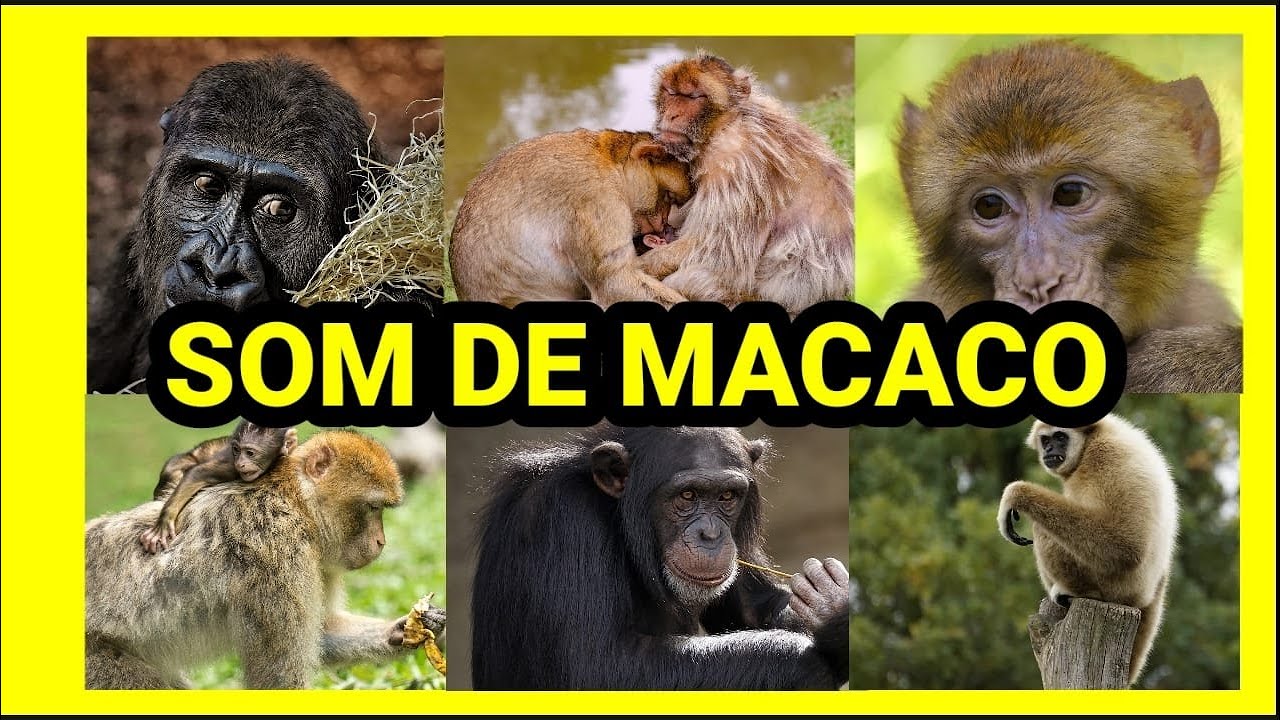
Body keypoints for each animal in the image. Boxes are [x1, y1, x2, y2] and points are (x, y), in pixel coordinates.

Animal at [138, 421, 298, 554]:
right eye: (236, 450)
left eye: (250, 453)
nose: (241, 463)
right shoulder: (230, 466)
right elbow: (197, 474)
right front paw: (163, 524)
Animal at [638, 51, 853, 314]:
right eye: (671, 92)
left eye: (693, 97)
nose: (672, 115)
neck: (725, 126)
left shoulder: (735, 165)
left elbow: (716, 251)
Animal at [997, 414, 1179, 686]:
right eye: (1045, 440)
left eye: (1060, 436)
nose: (1049, 450)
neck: (1091, 440)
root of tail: (1144, 595)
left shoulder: (1108, 456)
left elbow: (1125, 545)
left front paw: (1016, 494)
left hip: (1115, 586)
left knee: (1042, 528)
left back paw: (1075, 591)